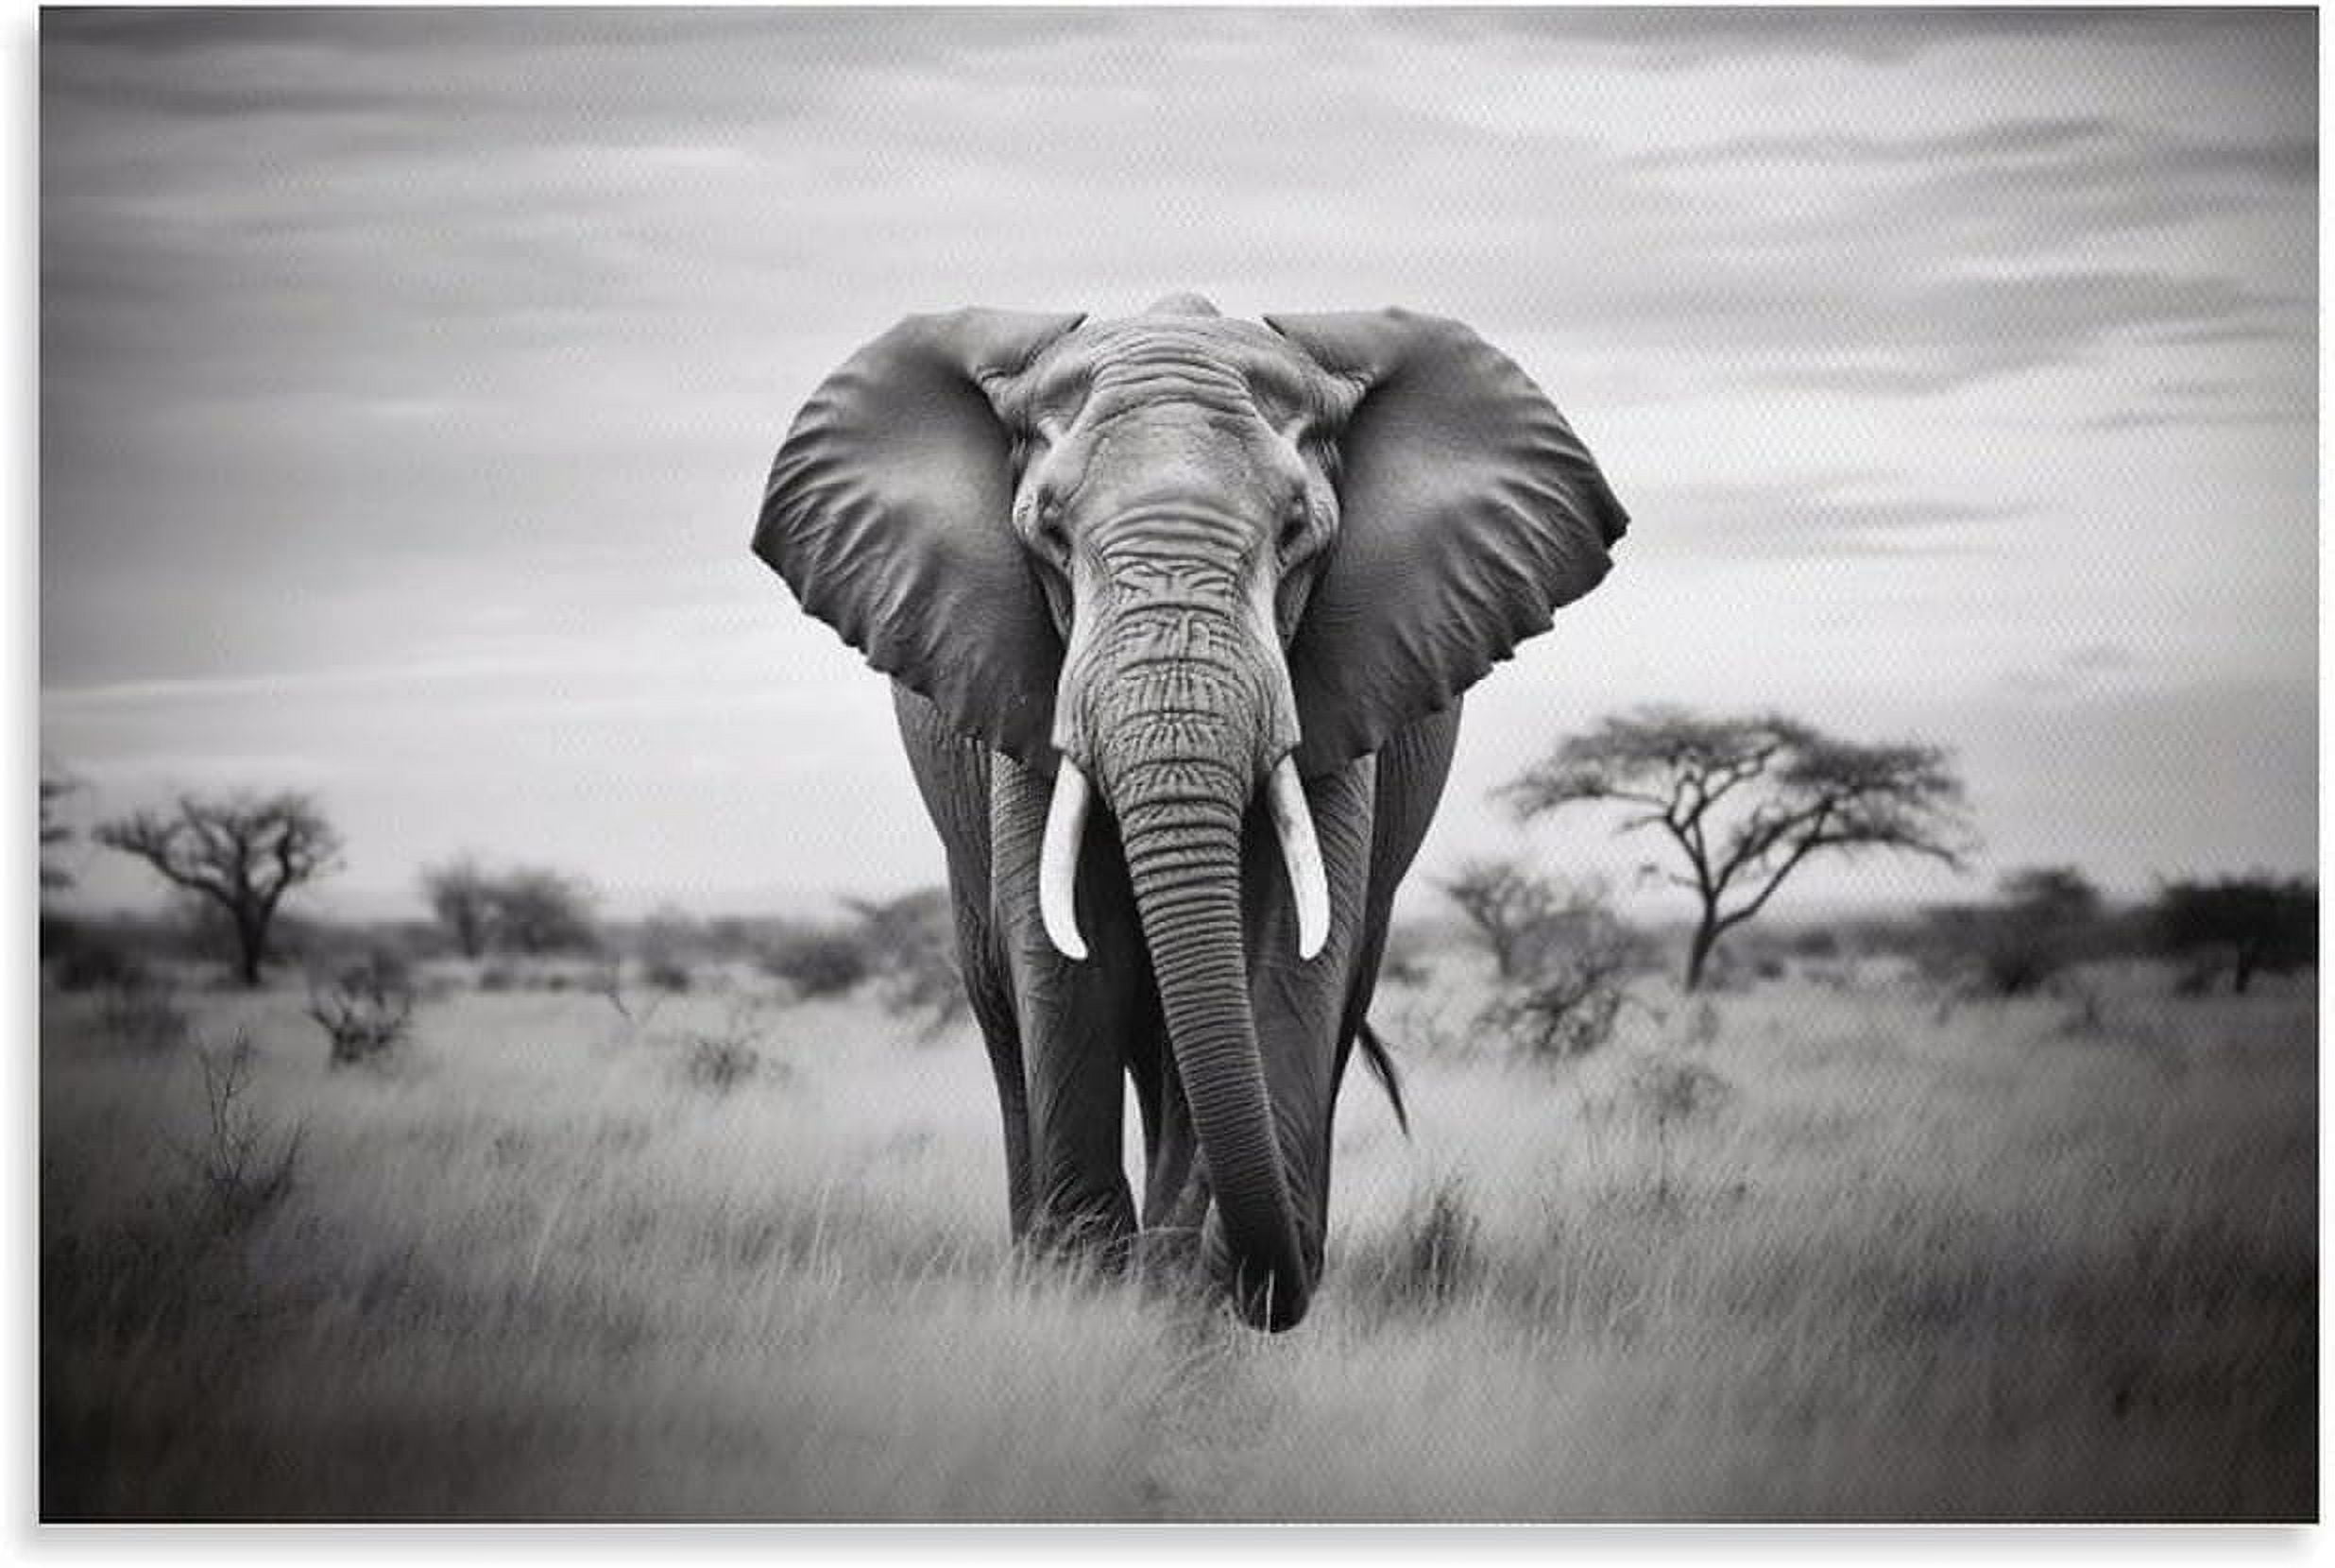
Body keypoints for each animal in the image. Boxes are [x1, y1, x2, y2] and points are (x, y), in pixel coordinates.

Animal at [752, 294, 1626, 1330]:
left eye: (1296, 531)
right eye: (1049, 533)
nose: (1264, 1281)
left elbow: (1293, 948)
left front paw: (1194, 1290)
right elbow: (1065, 951)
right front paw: (1084, 1289)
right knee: (1009, 1005)